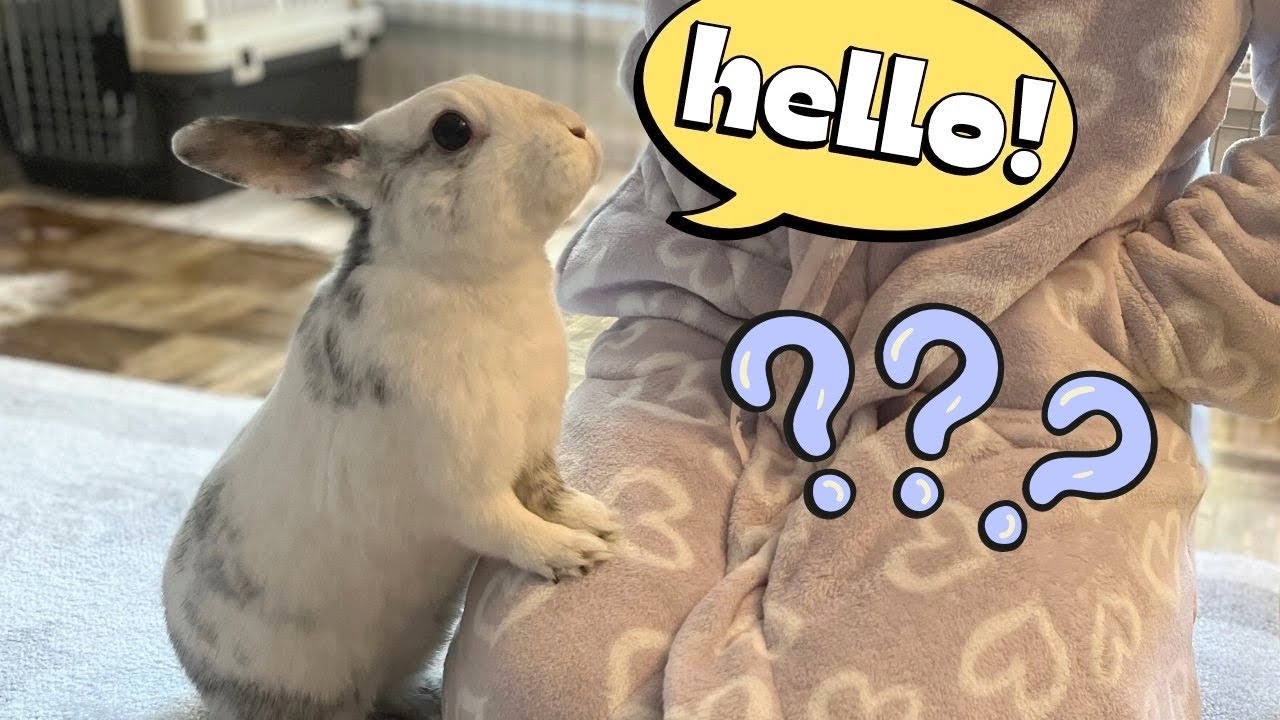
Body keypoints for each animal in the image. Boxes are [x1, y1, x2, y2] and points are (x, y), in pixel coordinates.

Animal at [161, 75, 620, 720]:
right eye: (451, 130)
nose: (579, 128)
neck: (474, 283)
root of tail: (204, 684)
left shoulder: (533, 448)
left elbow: (546, 489)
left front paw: (596, 519)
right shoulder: (459, 490)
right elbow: (506, 525)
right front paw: (573, 554)